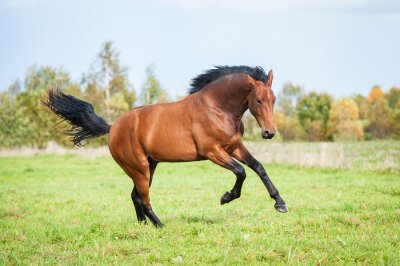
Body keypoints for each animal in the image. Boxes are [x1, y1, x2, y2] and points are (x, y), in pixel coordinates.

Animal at [43, 65, 288, 228]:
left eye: (274, 99)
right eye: (258, 100)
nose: (269, 133)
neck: (217, 108)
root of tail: (112, 128)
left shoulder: (234, 147)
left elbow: (258, 167)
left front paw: (280, 204)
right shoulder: (213, 152)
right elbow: (241, 171)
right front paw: (226, 197)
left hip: (148, 166)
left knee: (135, 196)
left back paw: (143, 226)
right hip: (139, 168)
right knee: (143, 198)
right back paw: (160, 226)